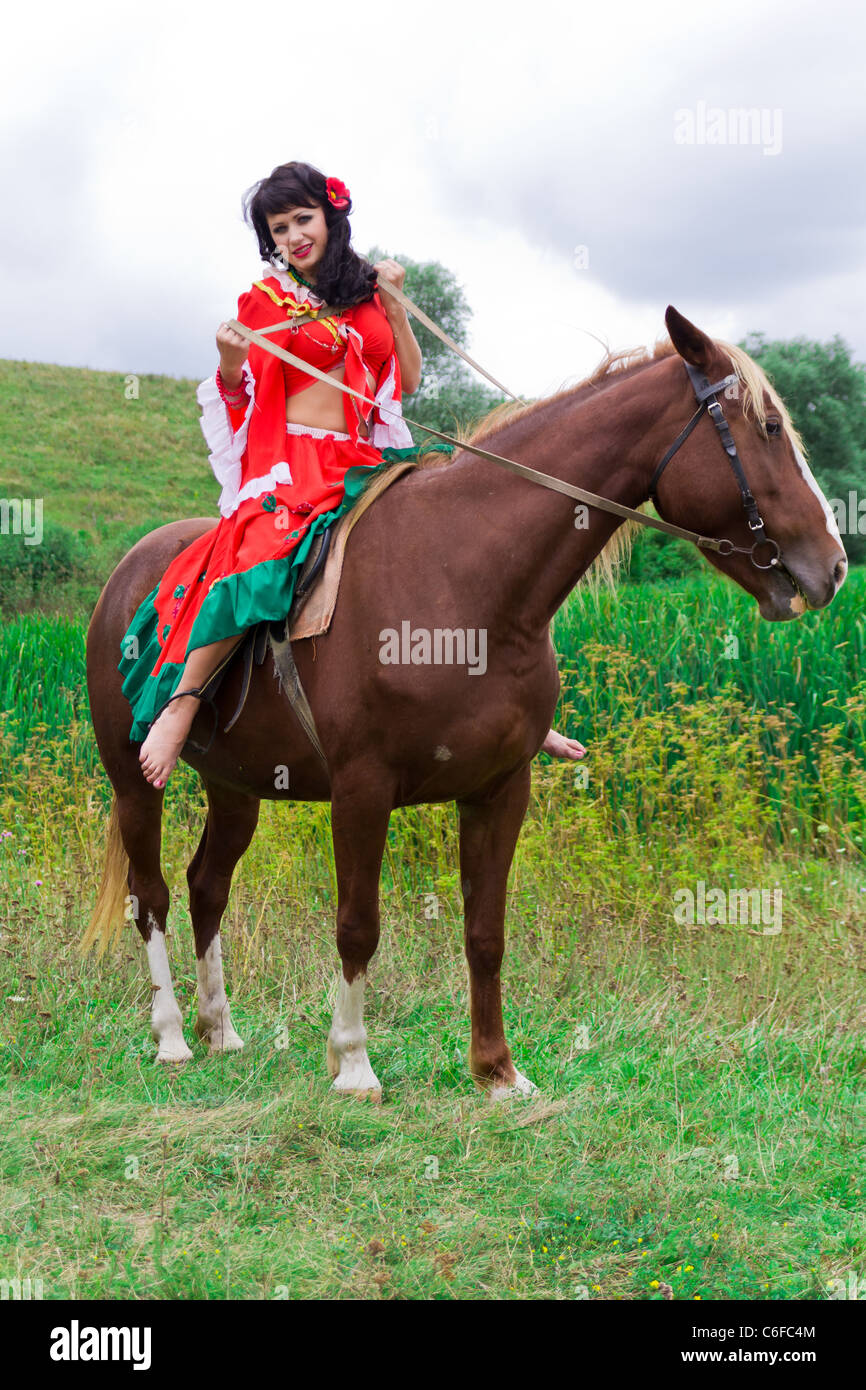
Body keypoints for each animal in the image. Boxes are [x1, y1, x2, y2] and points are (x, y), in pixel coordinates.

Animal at [82, 306, 847, 1099]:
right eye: (768, 427)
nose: (833, 565)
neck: (465, 583)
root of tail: (127, 574)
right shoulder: (362, 788)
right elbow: (358, 923)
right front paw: (353, 1062)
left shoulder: (500, 789)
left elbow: (485, 930)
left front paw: (497, 1071)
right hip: (133, 781)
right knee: (151, 894)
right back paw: (173, 1035)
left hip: (237, 788)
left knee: (207, 886)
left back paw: (221, 1029)